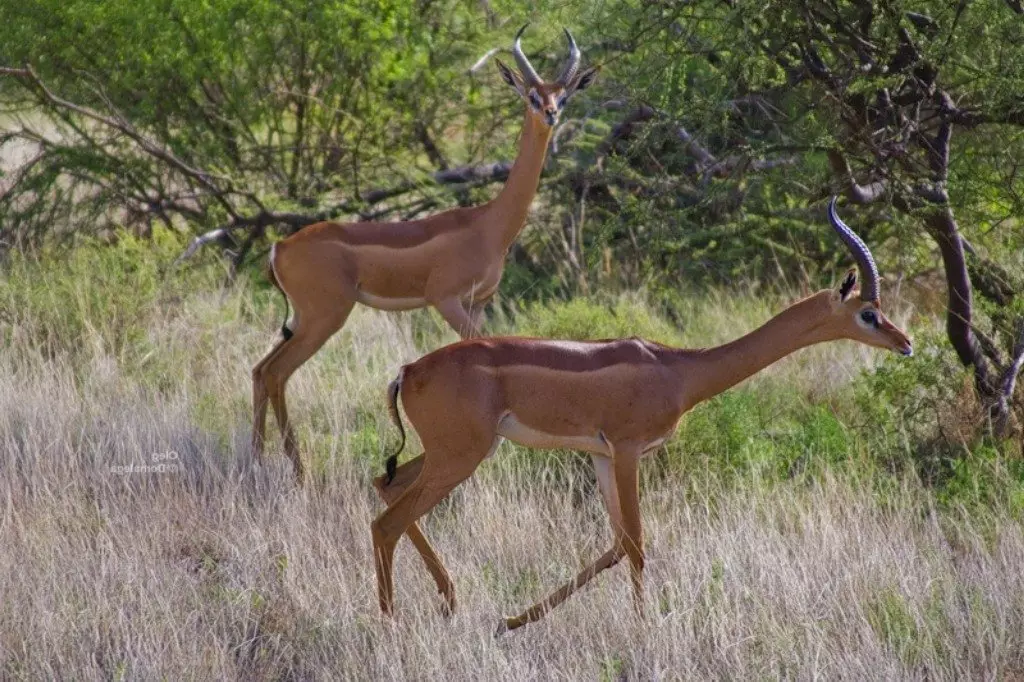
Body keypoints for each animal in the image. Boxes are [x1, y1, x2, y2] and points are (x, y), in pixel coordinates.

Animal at [249, 23, 598, 475]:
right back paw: (297, 469)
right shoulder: (445, 300)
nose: (551, 115)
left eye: (563, 95)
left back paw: (256, 460)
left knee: (261, 371)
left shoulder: (478, 303)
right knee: (276, 373)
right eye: (532, 96)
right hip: (322, 319)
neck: (488, 224)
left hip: (302, 320)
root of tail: (279, 248)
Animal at [374, 197, 913, 630]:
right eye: (868, 312)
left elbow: (616, 545)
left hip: (453, 454)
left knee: (385, 487)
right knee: (387, 522)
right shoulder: (629, 450)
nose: (905, 343)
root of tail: (408, 369)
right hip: (462, 456)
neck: (679, 369)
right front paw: (643, 629)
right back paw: (392, 624)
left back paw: (449, 602)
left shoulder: (602, 455)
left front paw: (512, 621)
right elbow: (636, 543)